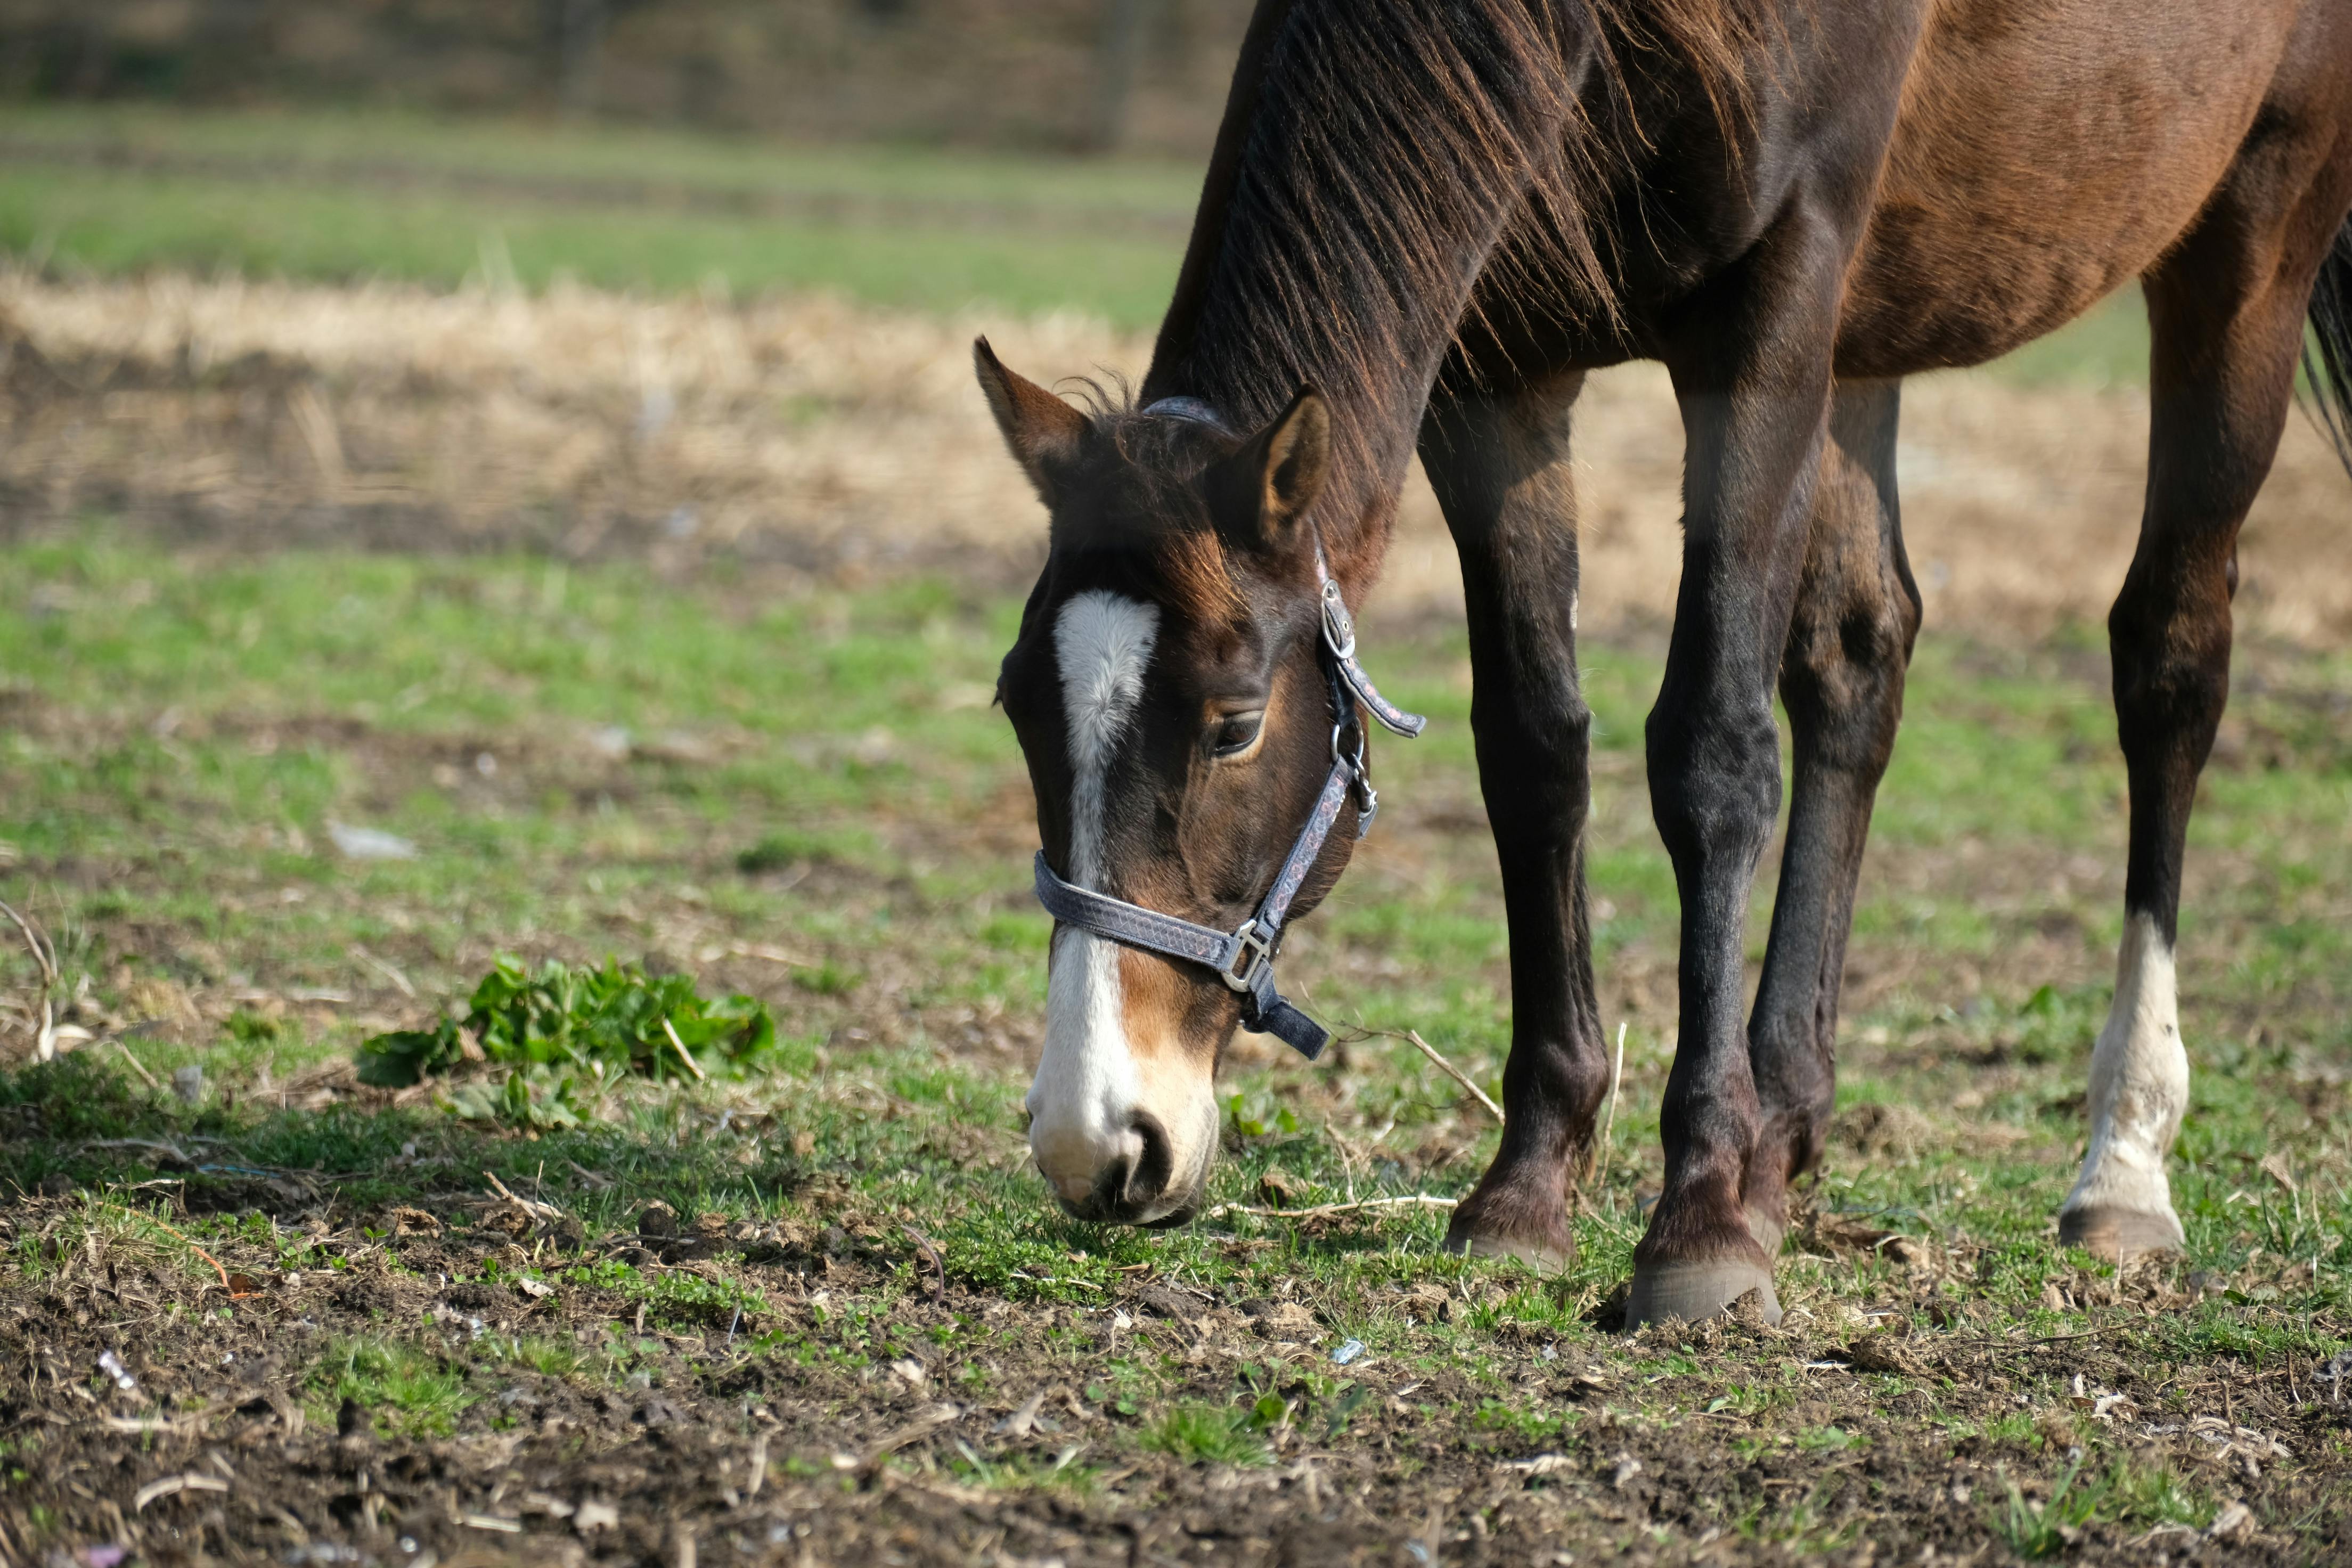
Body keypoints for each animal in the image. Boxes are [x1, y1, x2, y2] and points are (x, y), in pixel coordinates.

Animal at [976, 0, 2352, 1324]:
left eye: (1234, 723)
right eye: (1017, 707)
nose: (1096, 1139)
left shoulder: (1769, 317)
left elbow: (1712, 755)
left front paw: (1698, 1224)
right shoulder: (1500, 370)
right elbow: (1532, 749)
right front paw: (1529, 1186)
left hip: (2251, 240)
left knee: (2168, 663)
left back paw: (2121, 1166)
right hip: (1872, 329)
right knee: (1860, 657)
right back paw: (1783, 1130)